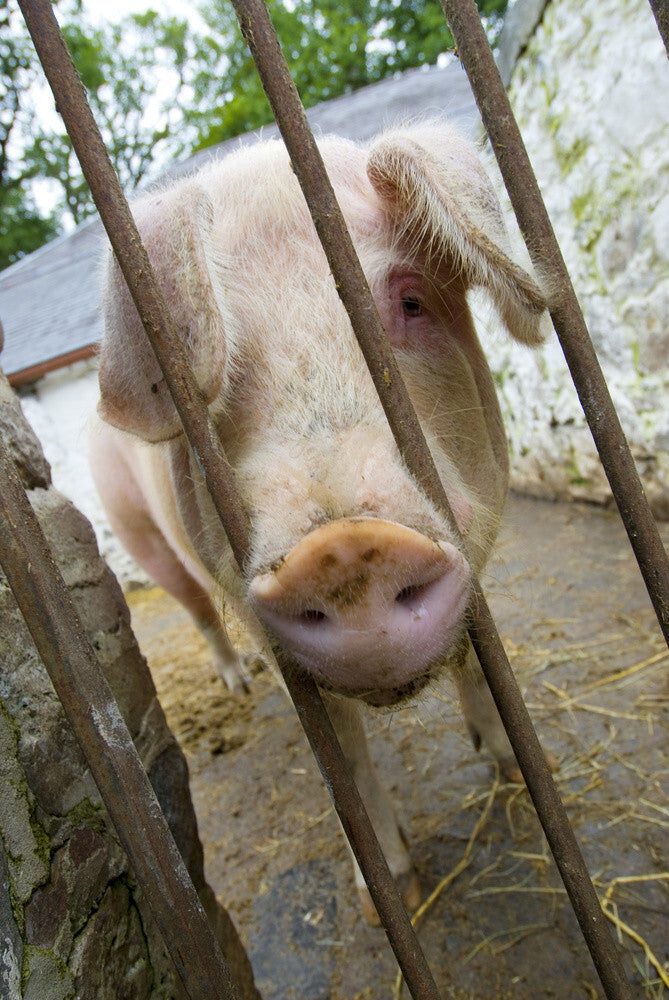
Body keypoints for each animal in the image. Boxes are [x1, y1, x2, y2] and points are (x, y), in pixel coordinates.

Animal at [89, 121, 551, 925]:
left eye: (412, 302)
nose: (345, 549)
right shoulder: (270, 632)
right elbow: (346, 760)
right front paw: (391, 893)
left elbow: (476, 660)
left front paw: (516, 771)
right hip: (138, 532)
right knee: (194, 608)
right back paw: (237, 689)